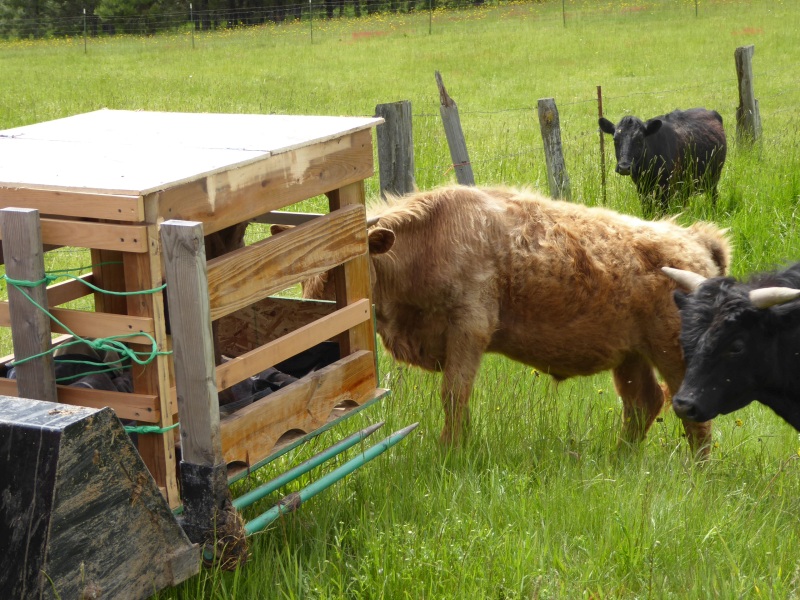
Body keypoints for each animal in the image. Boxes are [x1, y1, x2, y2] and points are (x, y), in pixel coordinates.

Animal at [276, 186, 732, 456]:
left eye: (345, 272)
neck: (427, 242)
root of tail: (693, 239)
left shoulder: (468, 330)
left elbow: (453, 394)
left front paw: (449, 450)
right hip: (631, 356)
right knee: (642, 403)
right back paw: (619, 459)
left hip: (671, 352)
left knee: (688, 411)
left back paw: (696, 473)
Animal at [599, 108, 727, 215]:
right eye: (615, 139)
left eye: (640, 139)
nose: (624, 167)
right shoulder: (642, 188)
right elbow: (647, 212)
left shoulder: (666, 188)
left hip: (713, 177)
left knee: (713, 196)